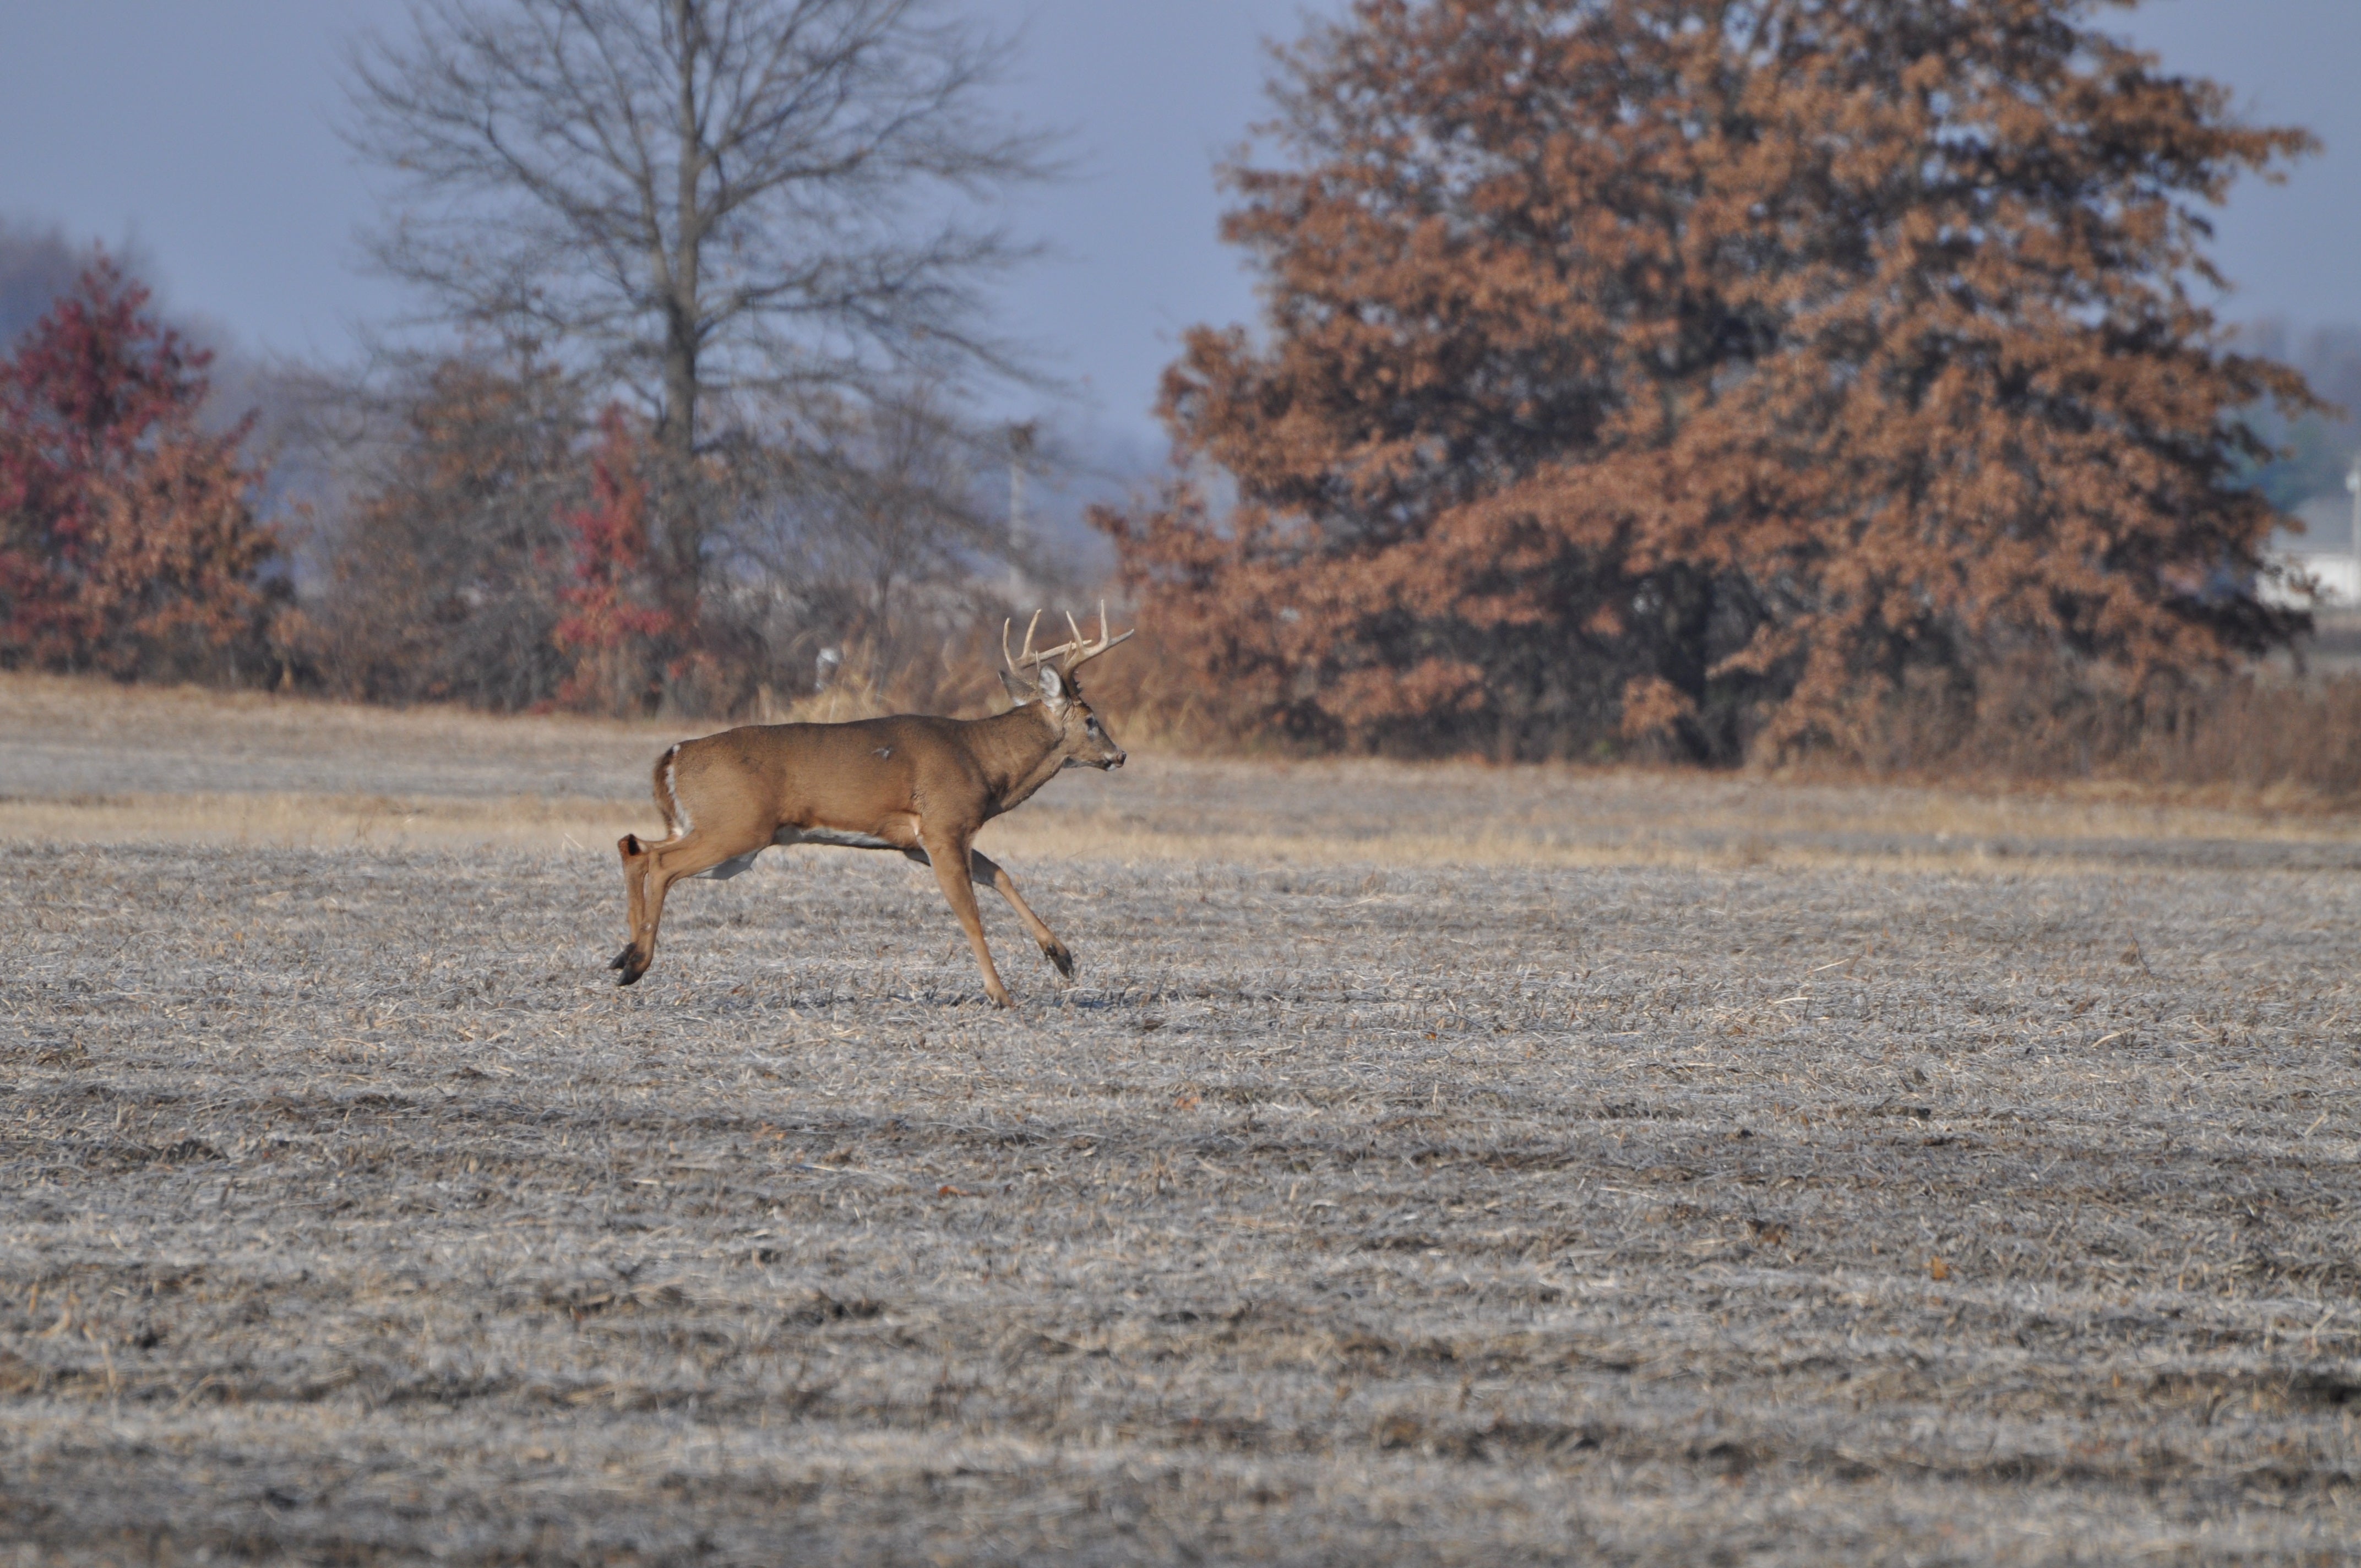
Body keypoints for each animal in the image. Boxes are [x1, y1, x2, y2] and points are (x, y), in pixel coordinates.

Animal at [609, 606, 1135, 1007]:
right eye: (1091, 720)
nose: (1120, 755)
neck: (983, 763)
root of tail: (673, 756)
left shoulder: (919, 841)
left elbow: (1000, 874)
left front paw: (1062, 957)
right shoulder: (943, 825)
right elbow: (969, 912)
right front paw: (1001, 994)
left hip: (704, 831)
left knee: (633, 846)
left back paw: (623, 954)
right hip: (737, 828)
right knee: (658, 863)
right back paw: (636, 964)